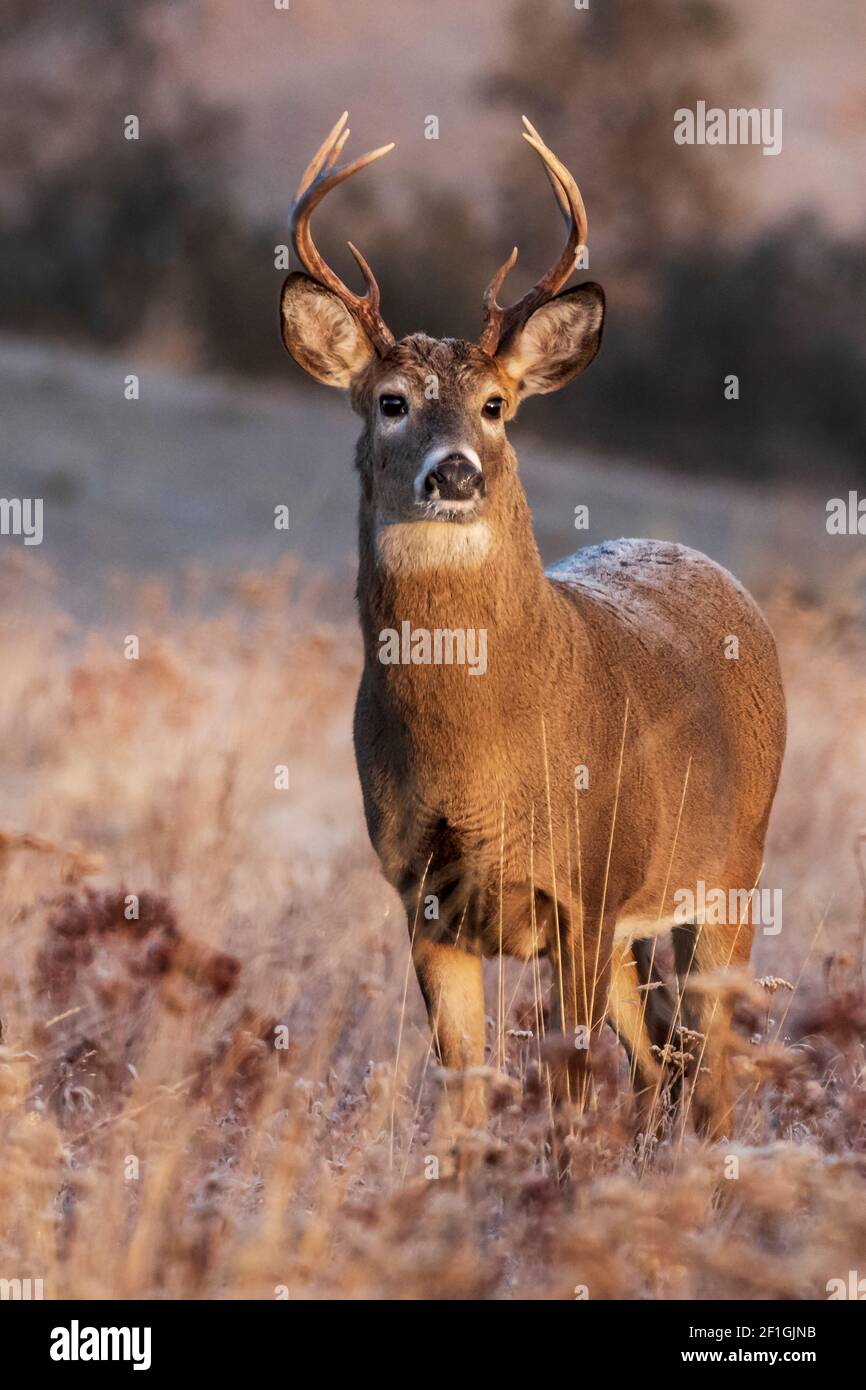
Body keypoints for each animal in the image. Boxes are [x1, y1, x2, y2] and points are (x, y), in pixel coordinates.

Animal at [279, 113, 786, 1140]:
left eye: (495, 405)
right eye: (391, 401)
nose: (455, 472)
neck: (480, 754)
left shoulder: (588, 889)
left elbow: (569, 1096)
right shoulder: (424, 902)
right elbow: (467, 1099)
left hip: (729, 874)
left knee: (709, 1072)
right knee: (661, 1064)